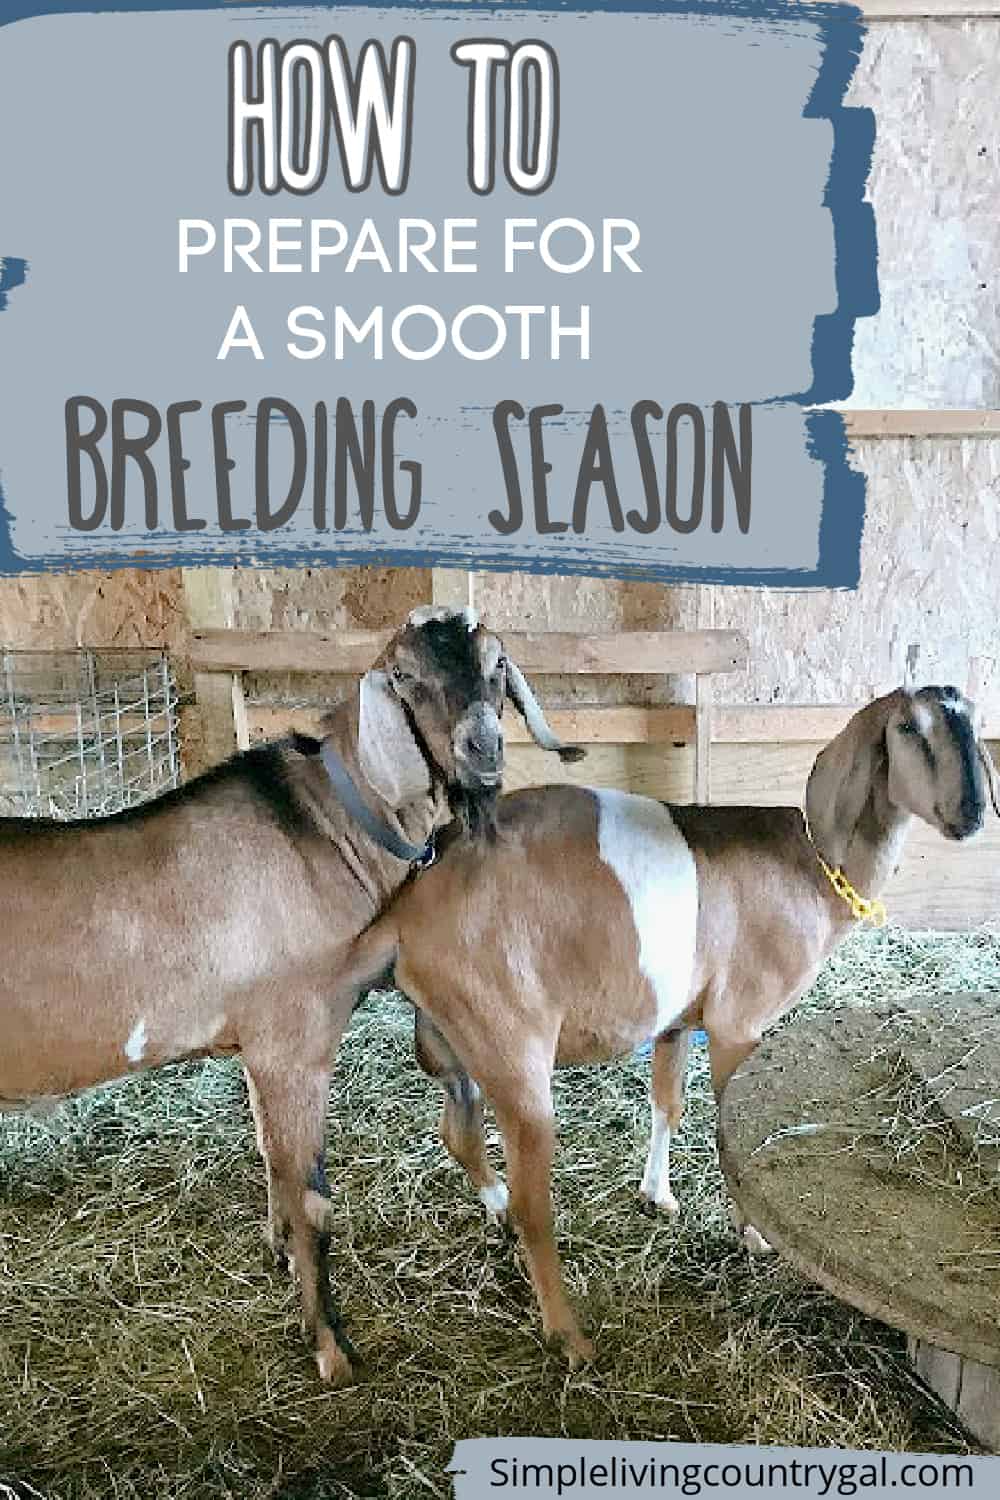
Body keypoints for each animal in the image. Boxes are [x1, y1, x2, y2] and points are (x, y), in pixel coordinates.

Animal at [0, 605, 582, 1383]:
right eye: (403, 676)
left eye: (496, 664)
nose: (481, 746)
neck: (325, 825)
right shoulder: (294, 1041)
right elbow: (313, 1201)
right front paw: (332, 1348)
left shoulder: (260, 1046)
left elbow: (272, 1161)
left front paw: (279, 1252)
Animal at [342, 686, 998, 1366]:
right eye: (907, 727)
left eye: (974, 721)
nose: (971, 813)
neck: (814, 867)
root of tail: (407, 915)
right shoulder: (739, 1022)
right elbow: (730, 1134)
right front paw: (753, 1234)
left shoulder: (676, 1021)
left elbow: (668, 1105)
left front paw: (657, 1193)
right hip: (512, 1050)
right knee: (532, 1202)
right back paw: (568, 1334)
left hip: (453, 1043)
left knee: (460, 1134)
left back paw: (495, 1210)